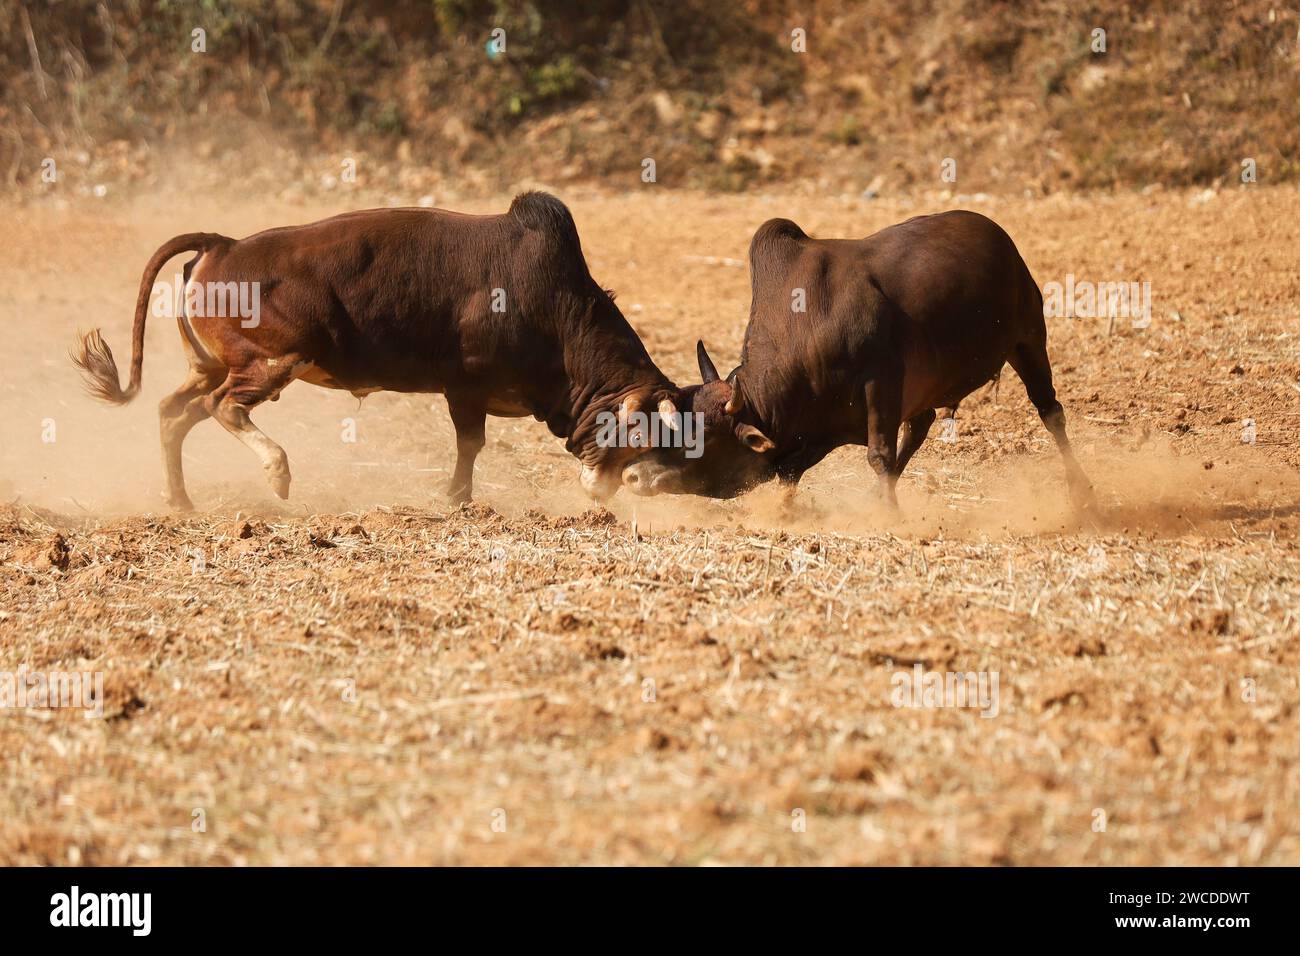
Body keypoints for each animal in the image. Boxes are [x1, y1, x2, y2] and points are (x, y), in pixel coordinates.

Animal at [71, 192, 679, 508]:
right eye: (636, 431)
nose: (614, 489)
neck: (555, 306)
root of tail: (223, 246)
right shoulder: (465, 387)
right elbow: (471, 444)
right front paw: (455, 498)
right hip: (271, 362)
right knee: (222, 408)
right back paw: (277, 472)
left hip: (211, 364)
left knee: (174, 413)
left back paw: (181, 501)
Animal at [620, 210, 1095, 511]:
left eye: (698, 439)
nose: (633, 476)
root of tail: (998, 234)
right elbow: (792, 474)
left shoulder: (880, 385)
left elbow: (878, 456)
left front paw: (891, 515)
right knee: (920, 428)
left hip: (1029, 339)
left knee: (1051, 411)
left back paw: (1081, 490)